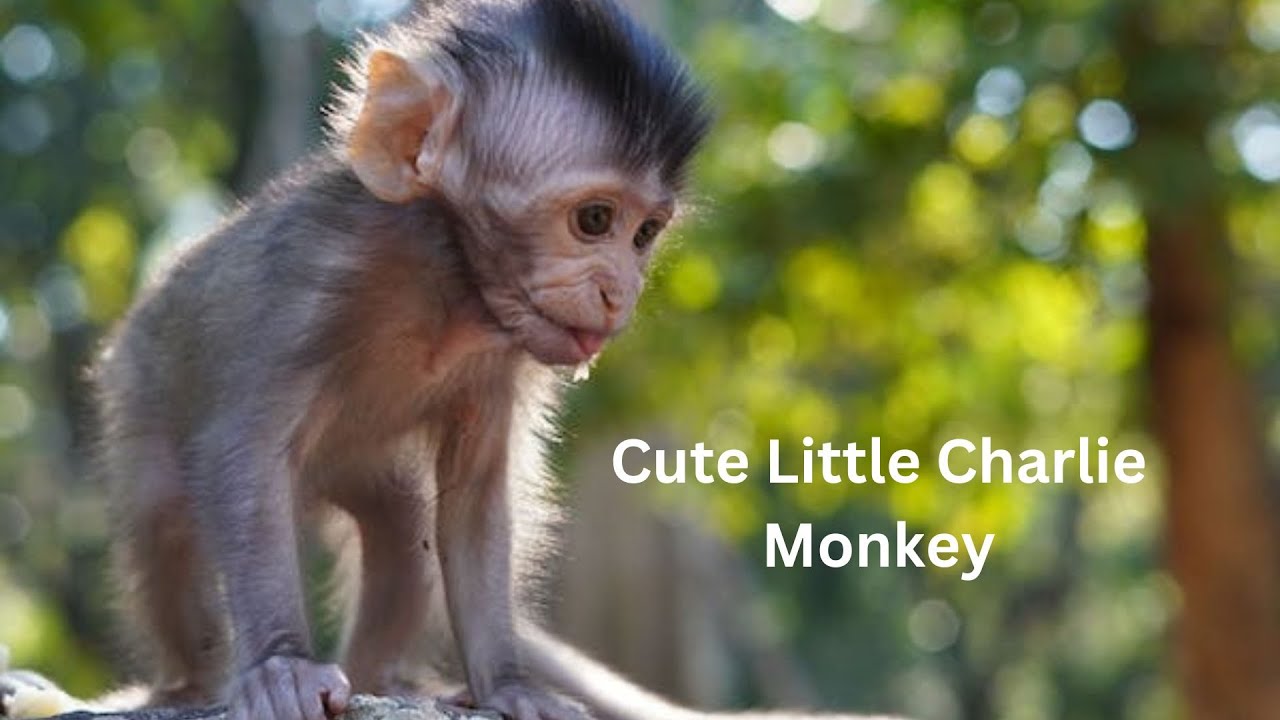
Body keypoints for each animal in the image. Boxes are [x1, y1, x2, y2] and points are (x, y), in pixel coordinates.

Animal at [0, 2, 907, 720]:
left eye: (645, 233)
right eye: (595, 220)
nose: (619, 291)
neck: (448, 274)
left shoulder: (506, 355)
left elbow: (473, 498)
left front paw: (504, 684)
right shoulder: (311, 277)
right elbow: (242, 455)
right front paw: (282, 666)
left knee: (402, 540)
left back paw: (380, 677)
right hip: (136, 386)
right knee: (166, 513)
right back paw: (189, 684)